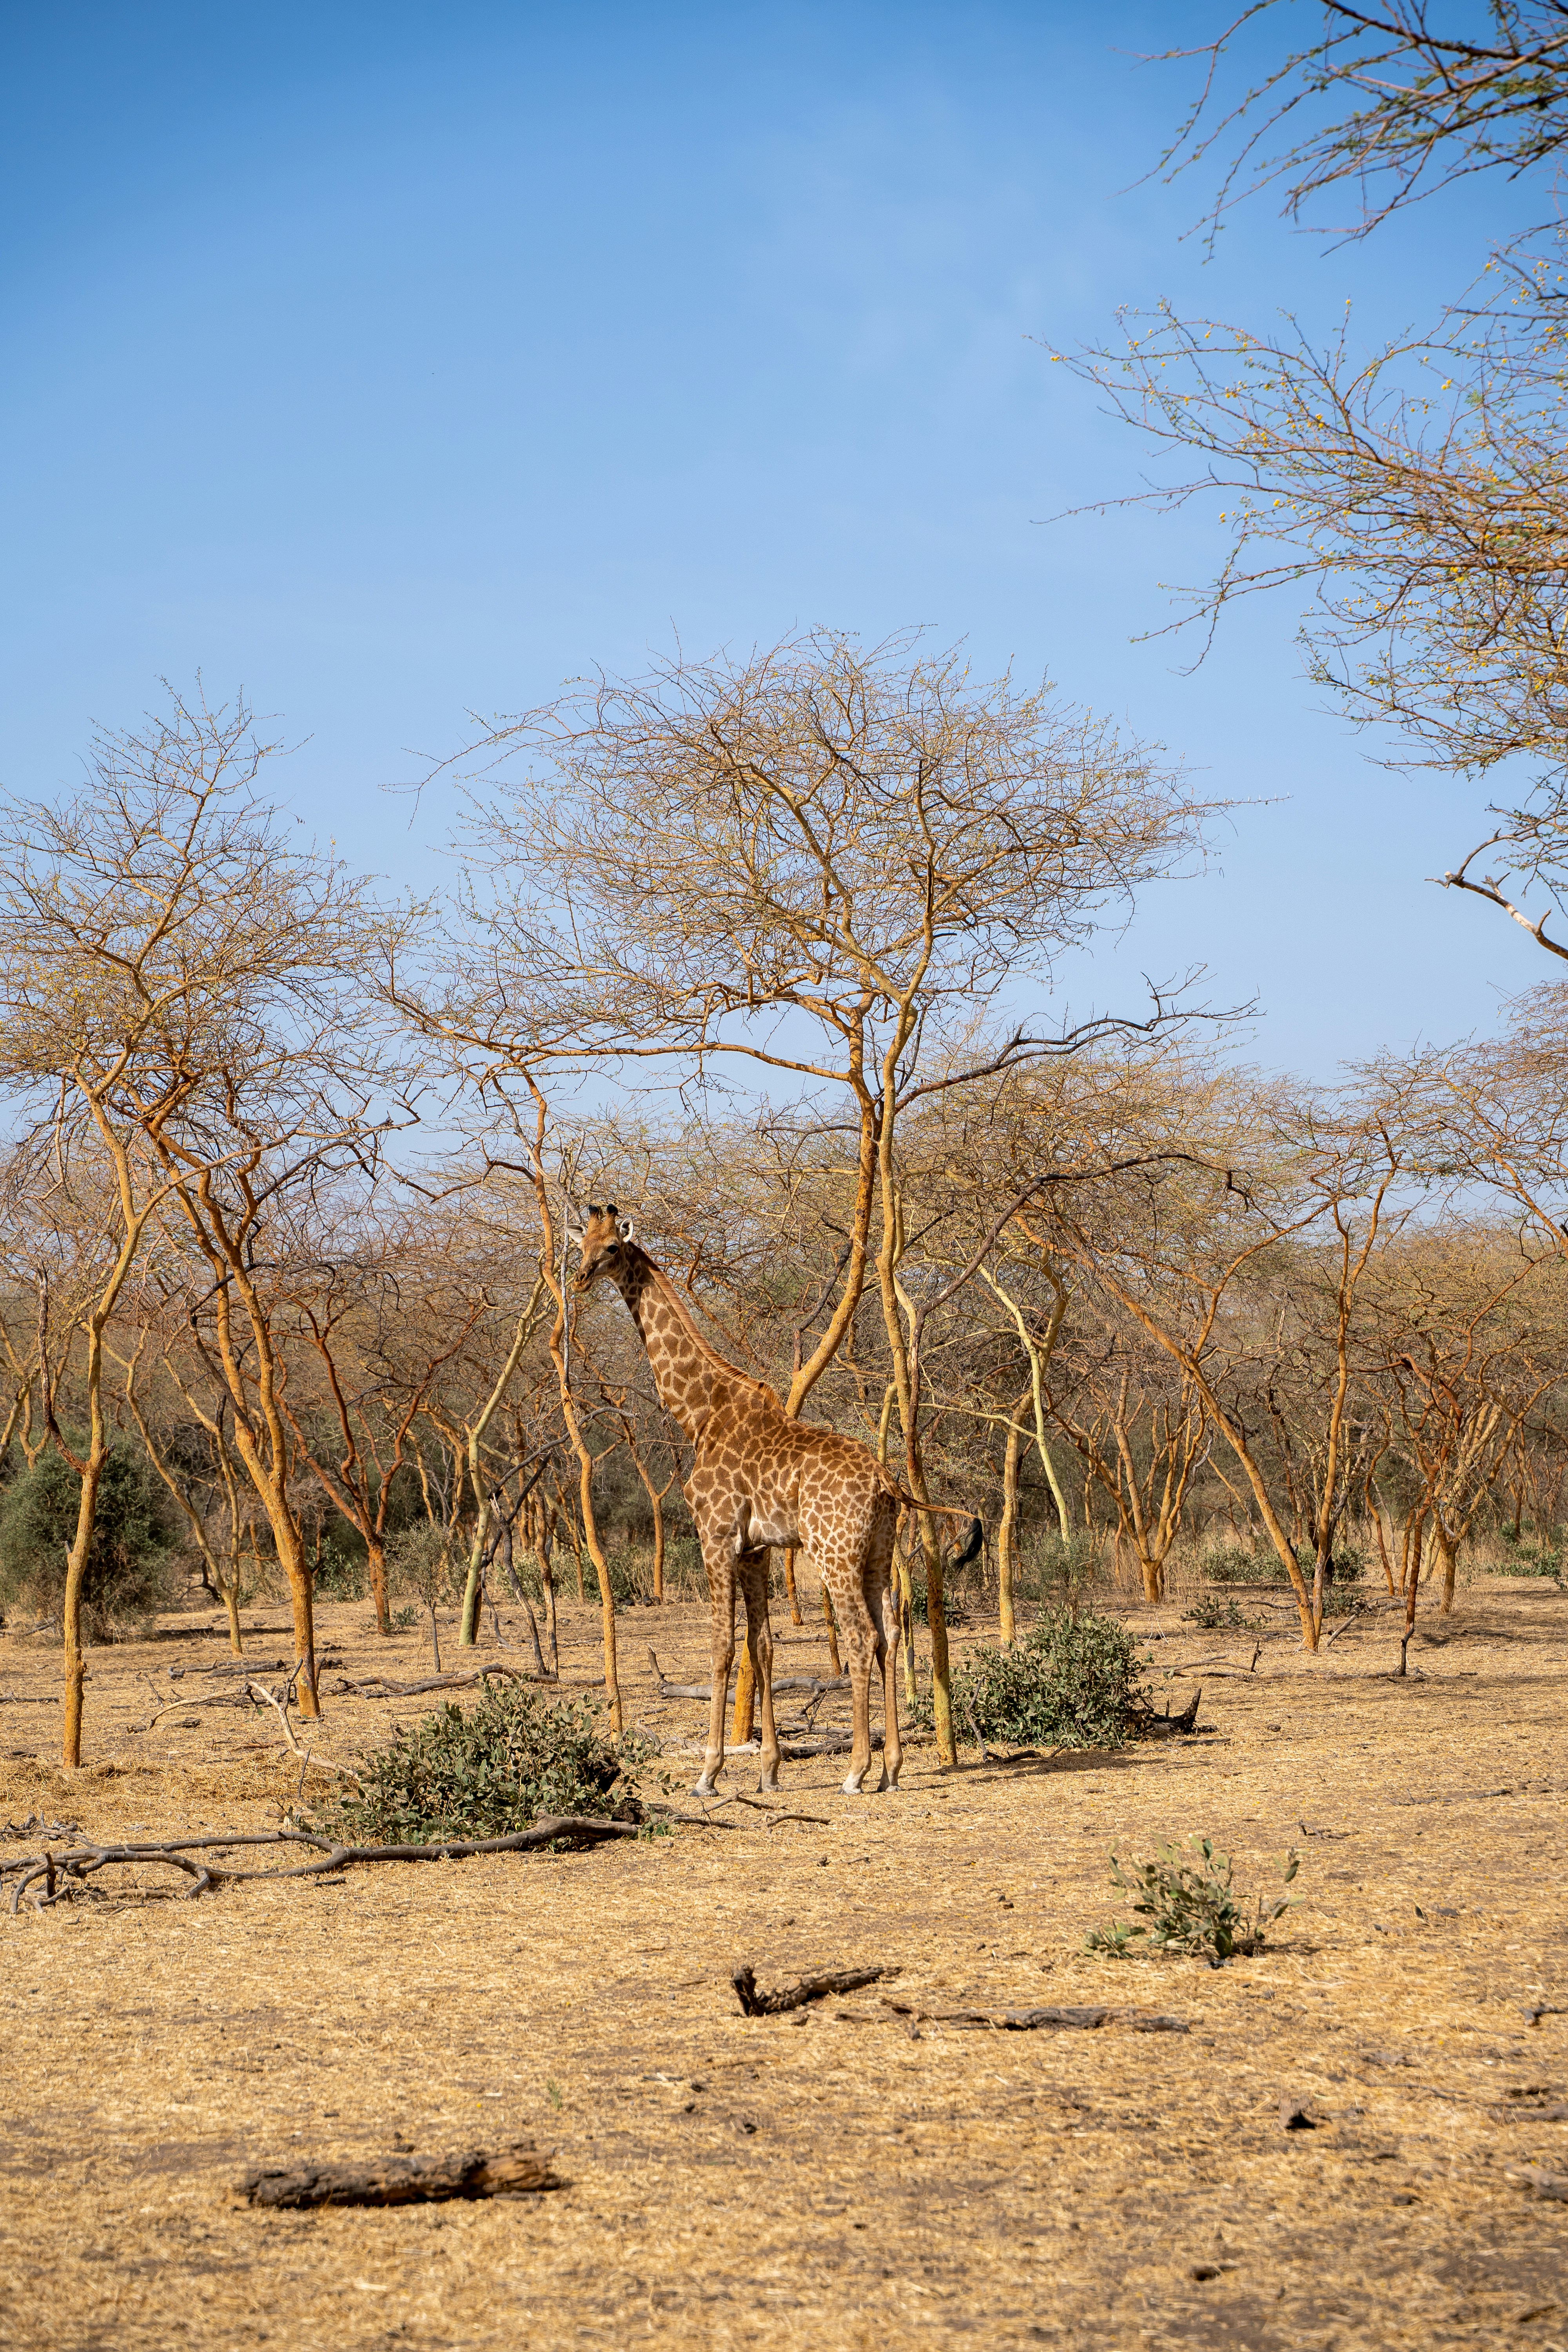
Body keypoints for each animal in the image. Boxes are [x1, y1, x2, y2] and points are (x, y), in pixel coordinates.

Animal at [567, 1203, 904, 1796]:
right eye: (580, 1243)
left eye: (611, 1248)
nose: (581, 1278)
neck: (700, 1412)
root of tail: (884, 1481)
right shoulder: (757, 1549)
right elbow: (763, 1644)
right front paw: (768, 1770)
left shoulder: (717, 1534)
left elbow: (722, 1645)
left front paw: (709, 1770)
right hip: (877, 1554)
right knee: (888, 1634)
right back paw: (891, 1768)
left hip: (833, 1551)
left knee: (862, 1638)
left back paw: (856, 1771)